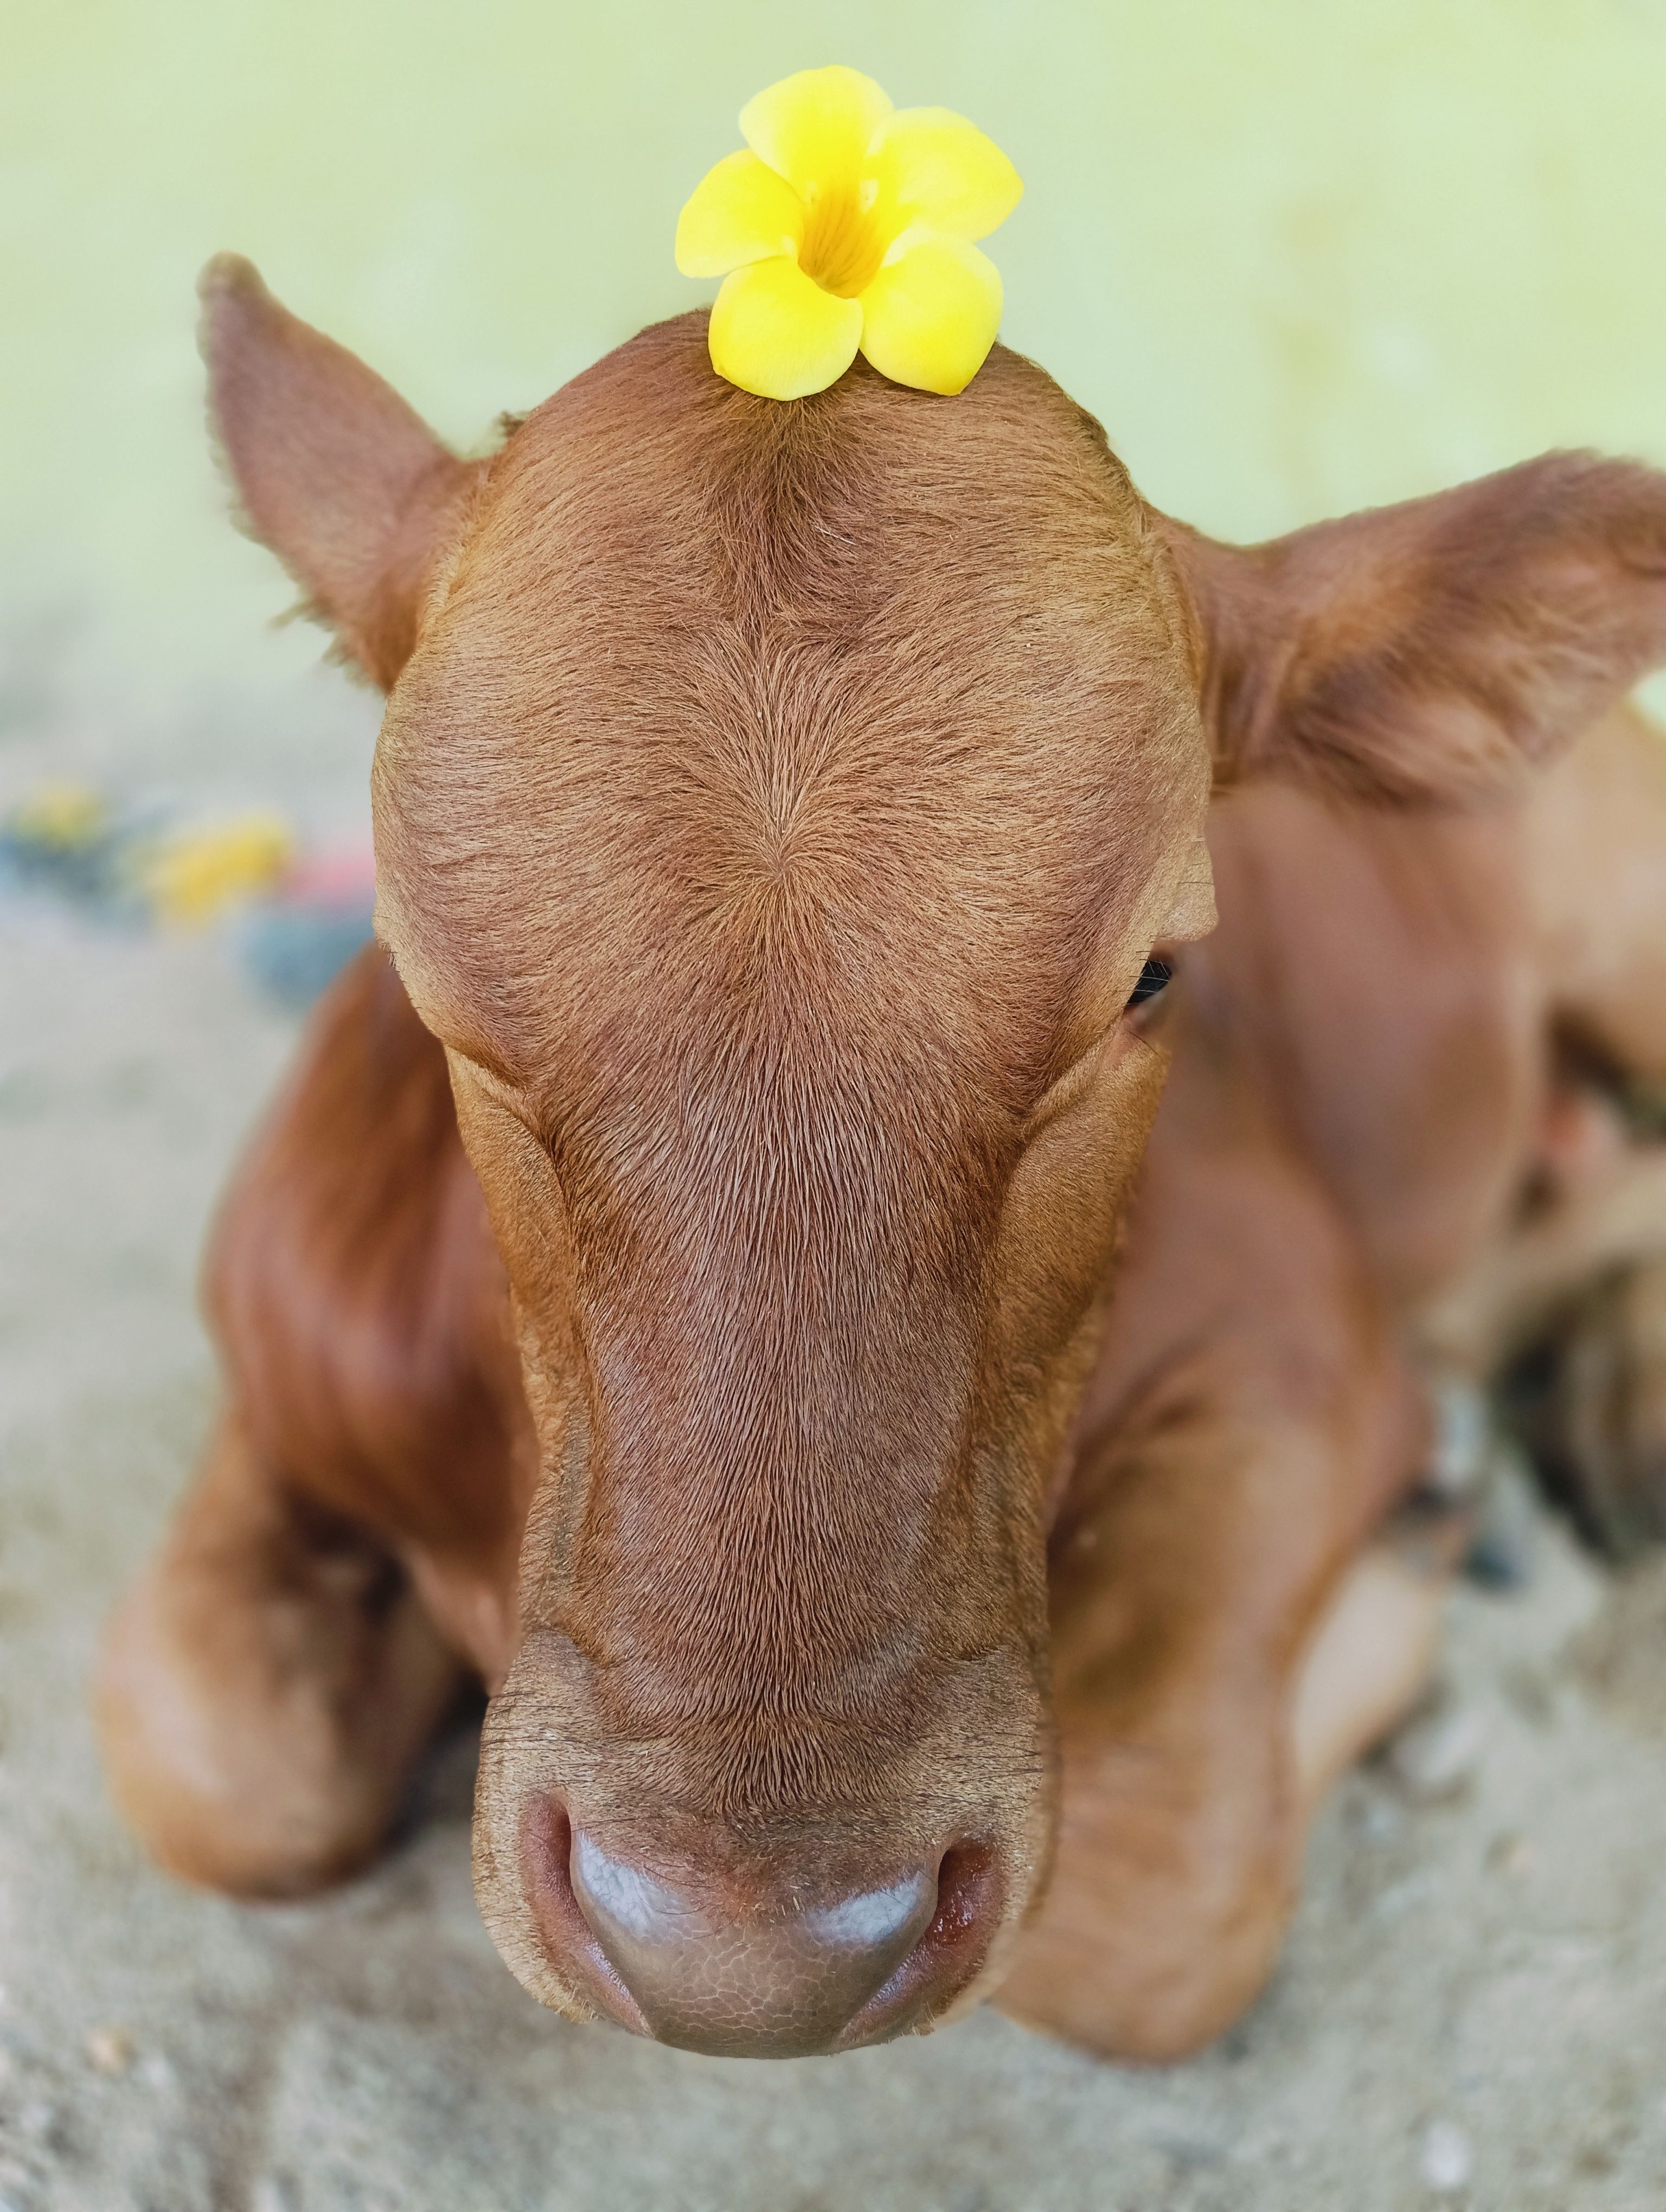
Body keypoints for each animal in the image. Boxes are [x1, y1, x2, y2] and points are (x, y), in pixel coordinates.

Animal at [96, 257, 1666, 2060]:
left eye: (1153, 974)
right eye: (429, 981)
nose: (742, 1951)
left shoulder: (1293, 1348)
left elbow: (1135, 1908)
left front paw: (1406, 1564)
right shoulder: (276, 1338)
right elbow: (212, 1754)